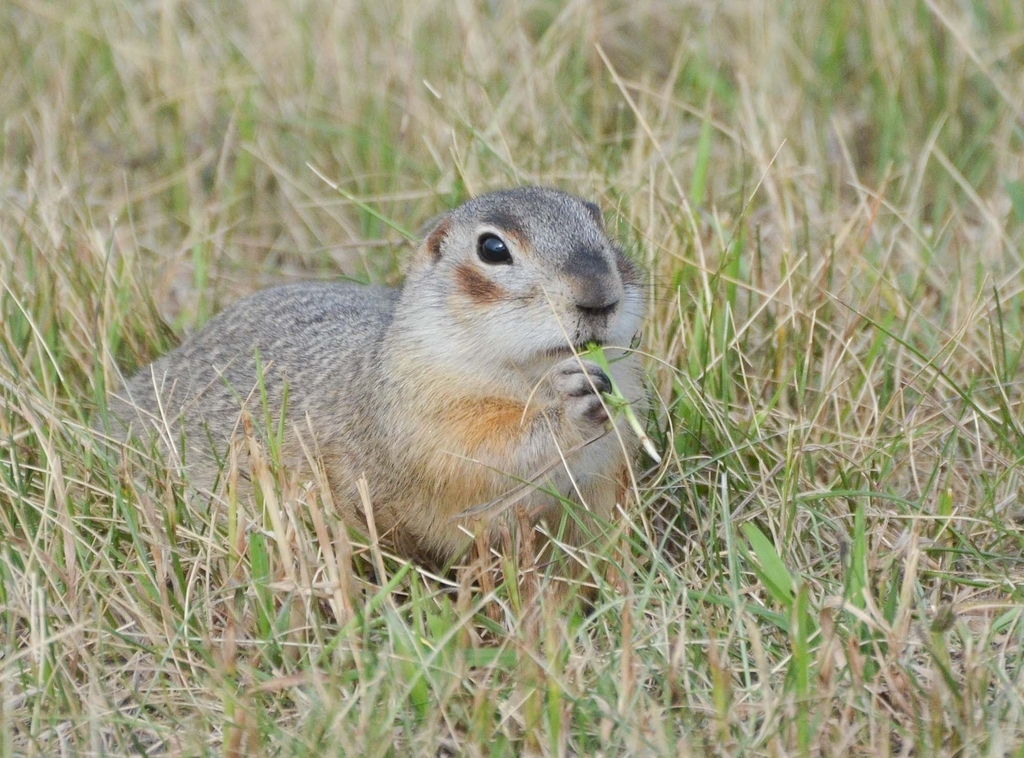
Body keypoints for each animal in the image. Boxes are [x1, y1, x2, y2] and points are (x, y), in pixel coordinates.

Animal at [104, 187, 646, 571]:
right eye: (492, 248)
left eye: (599, 223)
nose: (598, 296)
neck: (522, 376)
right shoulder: (420, 420)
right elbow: (480, 454)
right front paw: (570, 403)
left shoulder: (602, 477)